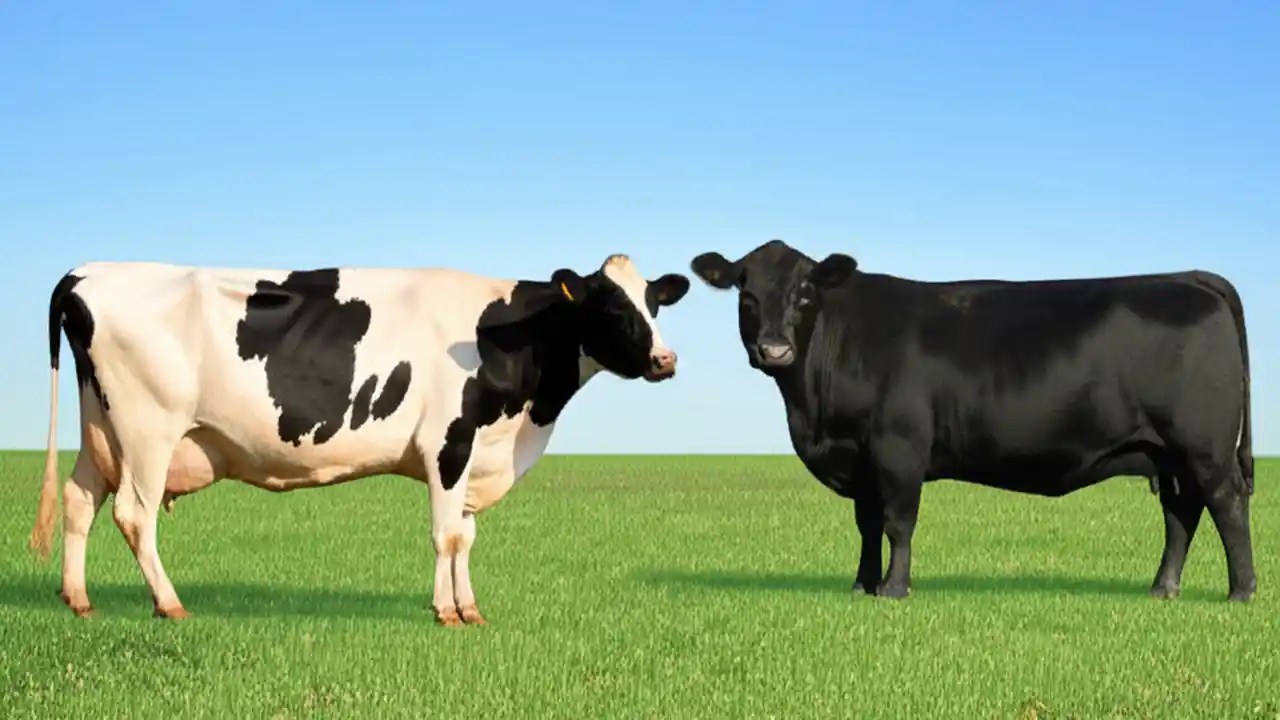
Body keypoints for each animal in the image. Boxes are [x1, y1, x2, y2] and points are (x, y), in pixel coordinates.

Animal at [30, 253, 690, 623]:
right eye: (610, 306)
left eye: (655, 303)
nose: (666, 360)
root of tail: (90, 271)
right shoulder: (448, 444)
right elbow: (447, 535)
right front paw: (446, 612)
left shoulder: (476, 452)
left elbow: (467, 537)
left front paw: (470, 608)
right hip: (149, 429)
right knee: (136, 515)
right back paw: (168, 604)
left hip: (101, 429)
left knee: (81, 501)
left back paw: (78, 599)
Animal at [691, 239, 1255, 602]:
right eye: (747, 295)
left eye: (805, 293)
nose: (775, 349)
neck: (813, 413)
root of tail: (1188, 277)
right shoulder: (861, 460)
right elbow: (867, 524)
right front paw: (861, 585)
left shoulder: (898, 448)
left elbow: (897, 522)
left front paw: (894, 589)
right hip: (1169, 455)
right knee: (1181, 514)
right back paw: (1163, 589)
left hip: (1203, 446)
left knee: (1226, 504)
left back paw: (1242, 591)